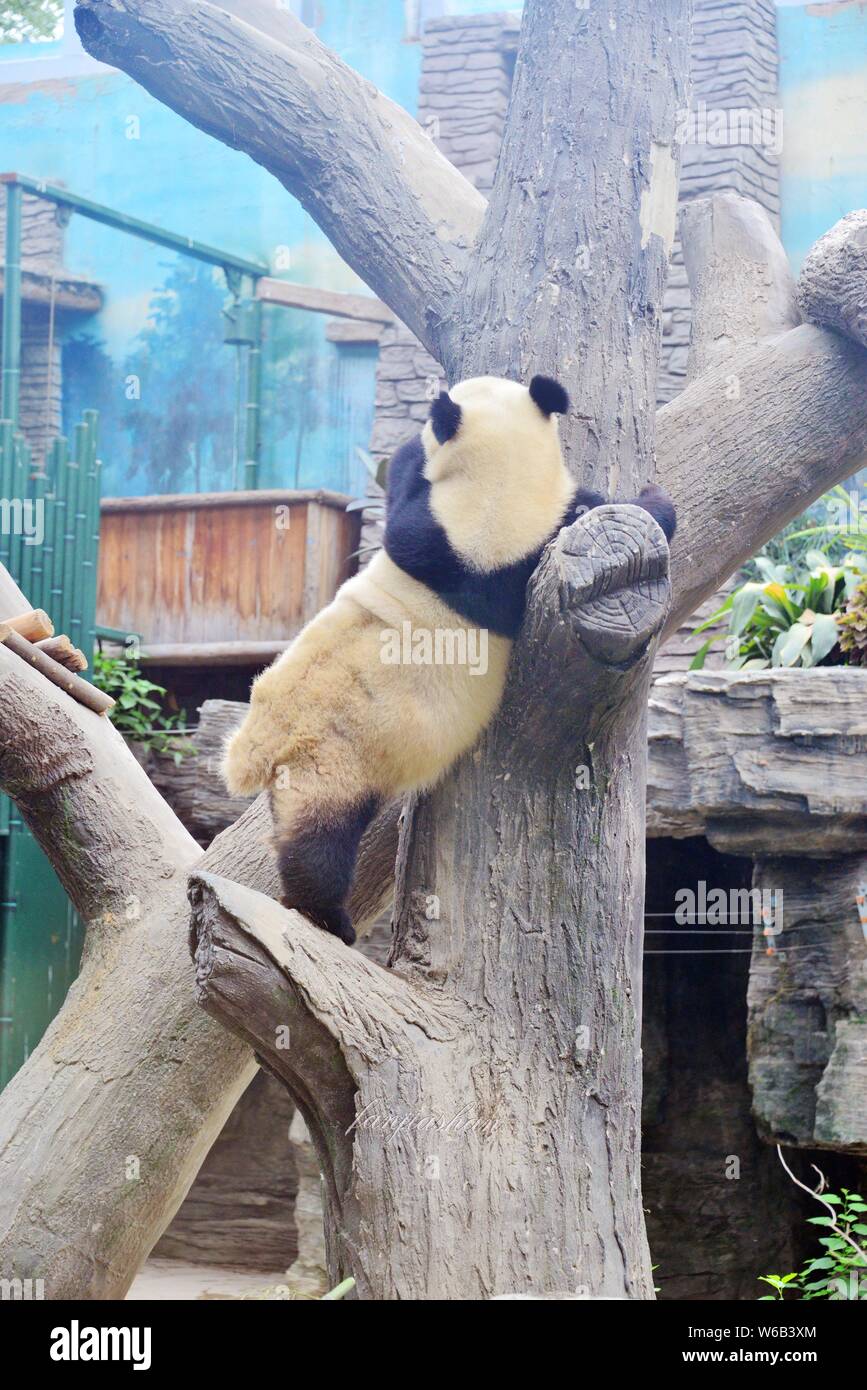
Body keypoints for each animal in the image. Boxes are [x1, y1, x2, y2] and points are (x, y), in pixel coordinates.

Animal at [223, 373, 675, 945]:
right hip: (334, 758)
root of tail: (259, 743)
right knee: (321, 843)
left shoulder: (432, 533)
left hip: (306, 764)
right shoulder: (487, 550)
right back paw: (327, 915)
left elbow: (403, 511)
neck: (493, 495)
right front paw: (654, 502)